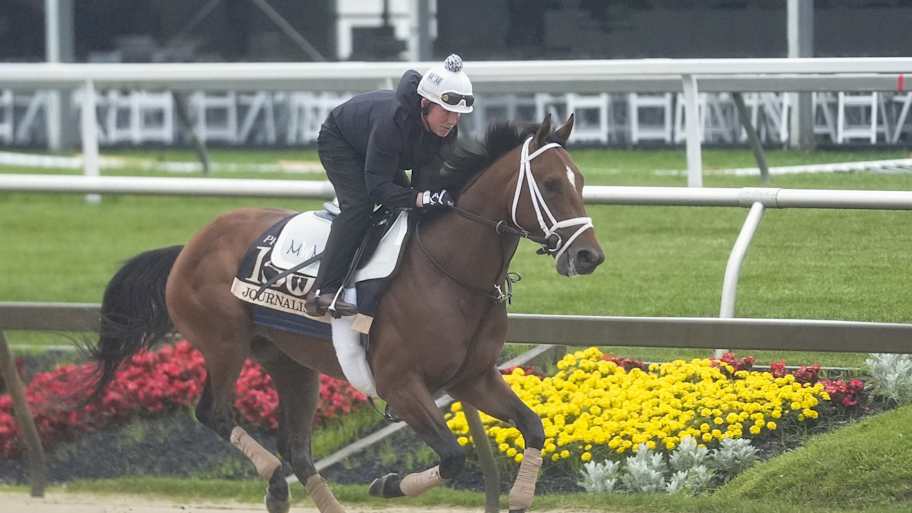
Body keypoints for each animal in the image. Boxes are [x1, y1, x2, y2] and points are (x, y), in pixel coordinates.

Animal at [85, 114, 605, 513]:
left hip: (290, 364)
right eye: (551, 185)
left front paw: (519, 496)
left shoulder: (472, 377)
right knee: (214, 412)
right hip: (224, 344)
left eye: (581, 181)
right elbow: (454, 457)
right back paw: (272, 477)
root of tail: (189, 247)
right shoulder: (400, 384)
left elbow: (533, 427)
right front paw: (388, 484)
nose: (589, 257)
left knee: (296, 448)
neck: (449, 272)